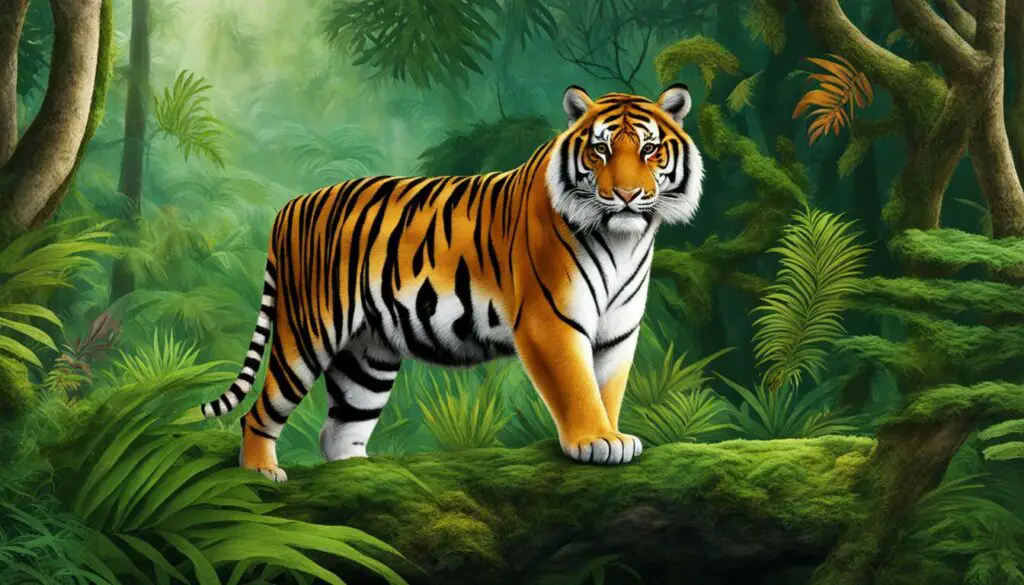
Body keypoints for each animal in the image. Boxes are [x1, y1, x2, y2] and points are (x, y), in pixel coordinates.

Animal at [200, 85, 704, 481]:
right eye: (600, 150)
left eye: (649, 150)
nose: (627, 195)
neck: (623, 241)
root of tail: (291, 206)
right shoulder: (552, 322)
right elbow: (577, 387)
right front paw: (594, 441)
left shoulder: (618, 330)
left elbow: (607, 388)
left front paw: (612, 434)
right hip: (307, 335)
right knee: (259, 413)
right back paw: (262, 472)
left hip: (367, 356)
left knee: (337, 430)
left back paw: (362, 476)